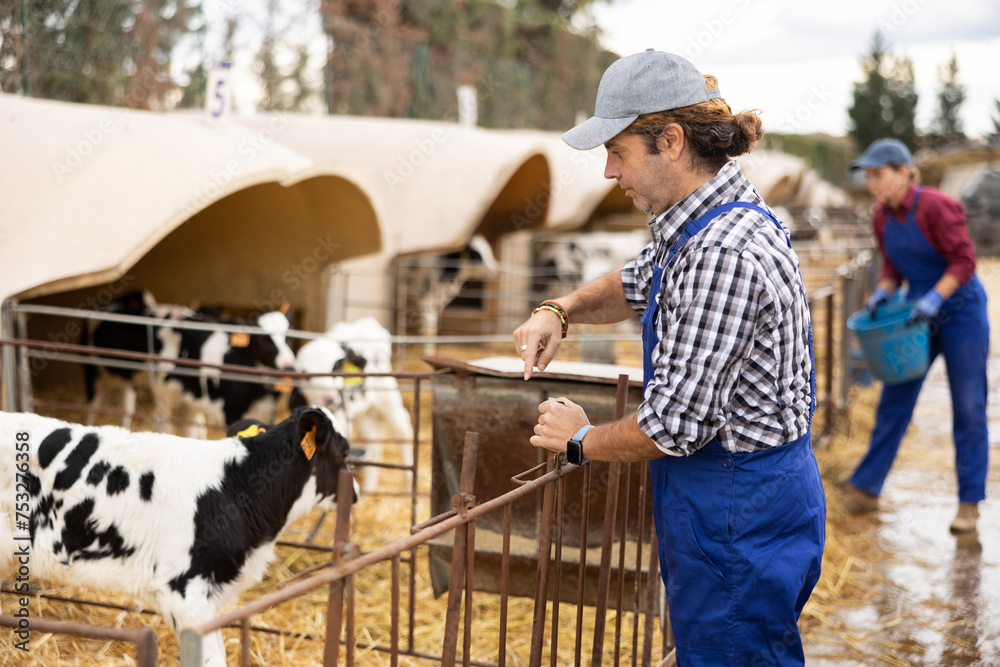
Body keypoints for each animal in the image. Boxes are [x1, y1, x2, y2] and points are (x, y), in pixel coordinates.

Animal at [290, 317, 413, 493]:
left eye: (336, 368)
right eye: (306, 375)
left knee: (402, 429)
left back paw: (408, 486)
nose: (330, 398)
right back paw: (370, 488)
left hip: (388, 397)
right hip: (364, 412)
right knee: (374, 441)